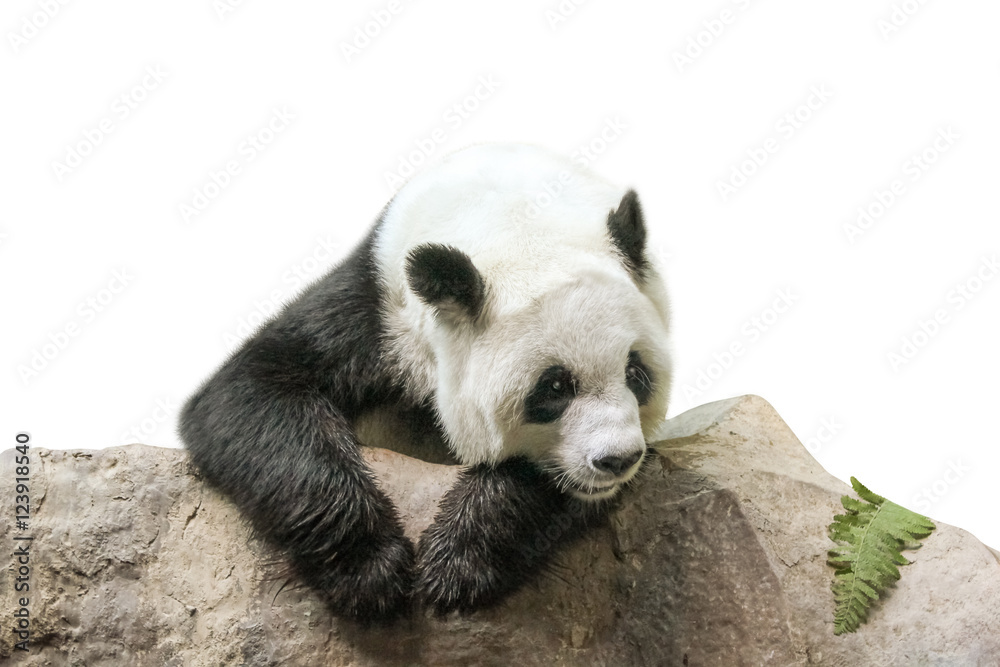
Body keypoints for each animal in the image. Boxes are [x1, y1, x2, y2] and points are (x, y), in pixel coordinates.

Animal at [179, 142, 672, 623]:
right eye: (554, 389)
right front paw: (372, 571)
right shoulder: (377, 305)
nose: (616, 459)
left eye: (635, 374)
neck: (516, 215)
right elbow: (252, 392)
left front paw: (458, 562)